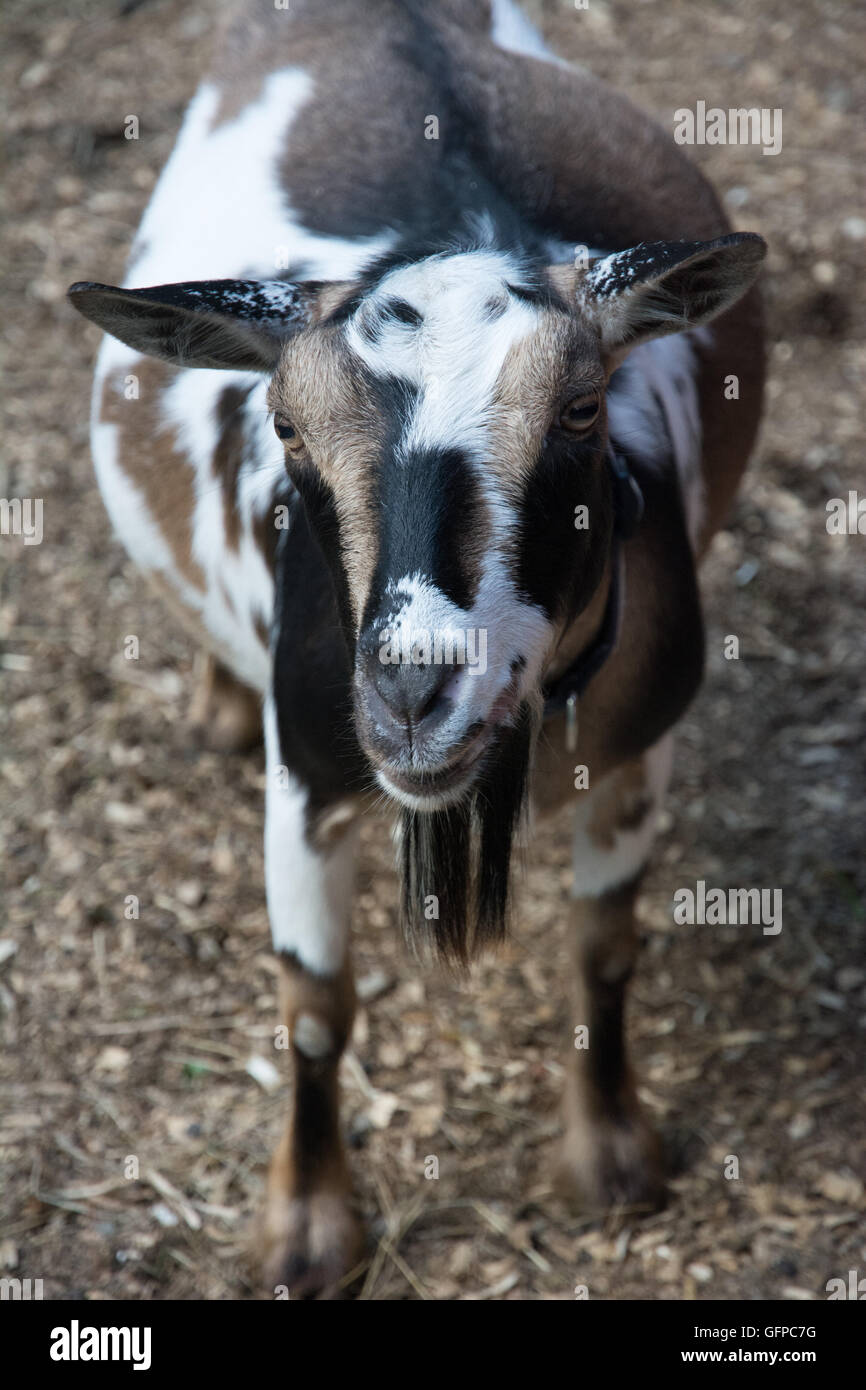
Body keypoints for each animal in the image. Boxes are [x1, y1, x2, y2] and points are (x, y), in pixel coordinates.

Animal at [68, 0, 766, 1297]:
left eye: (583, 406)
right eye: (287, 424)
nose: (407, 693)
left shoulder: (639, 751)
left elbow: (604, 947)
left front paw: (610, 1154)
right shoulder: (307, 780)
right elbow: (314, 1004)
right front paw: (305, 1228)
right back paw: (214, 700)